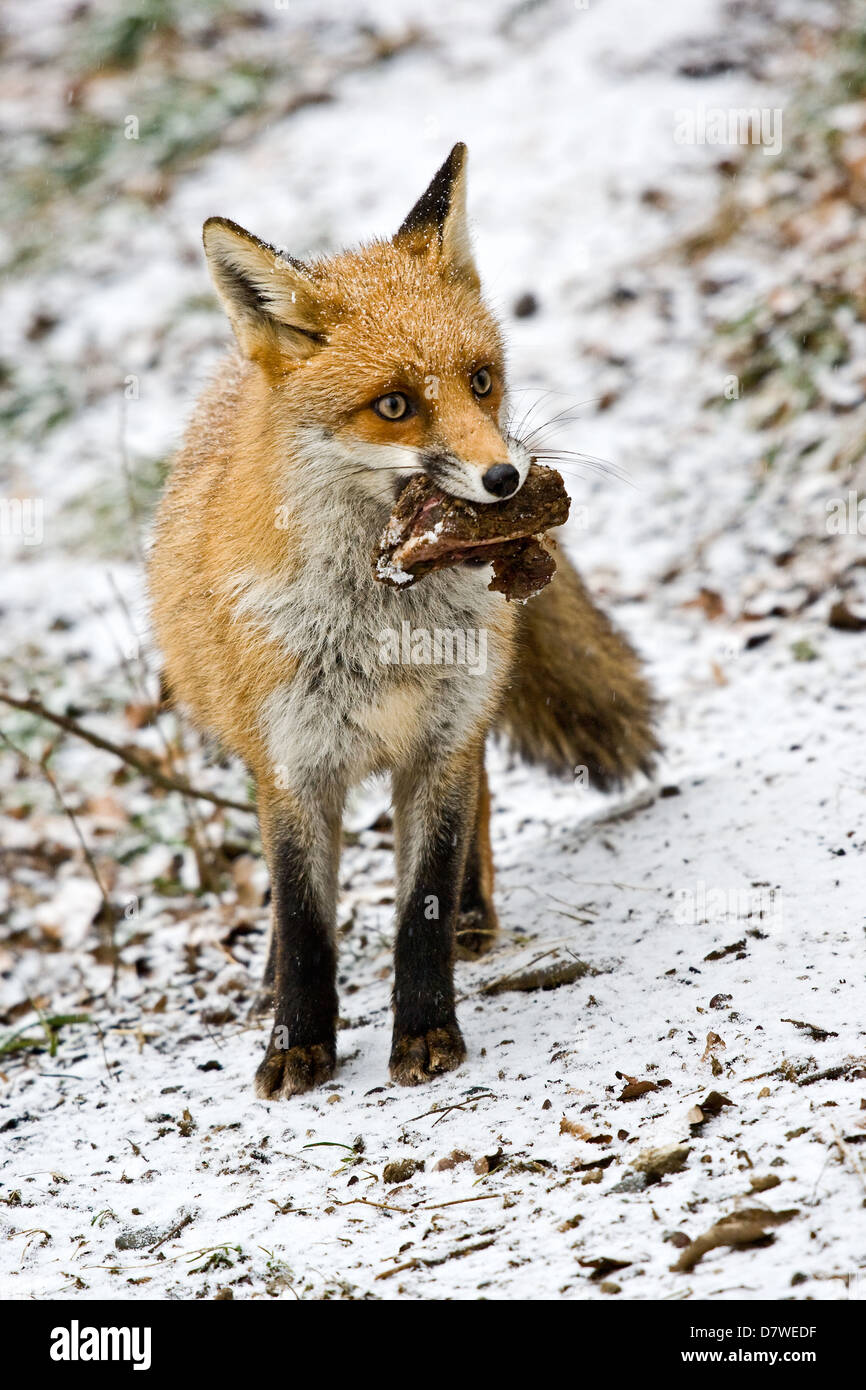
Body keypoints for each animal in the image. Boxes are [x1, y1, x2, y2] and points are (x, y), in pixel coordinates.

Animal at [149, 143, 659, 1099]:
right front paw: (296, 1045)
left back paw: (472, 914)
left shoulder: (441, 742)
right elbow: (305, 917)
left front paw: (425, 1031)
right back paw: (270, 978)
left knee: (481, 804)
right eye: (394, 405)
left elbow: (420, 902)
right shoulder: (294, 765)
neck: (383, 621)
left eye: (482, 380)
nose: (505, 478)